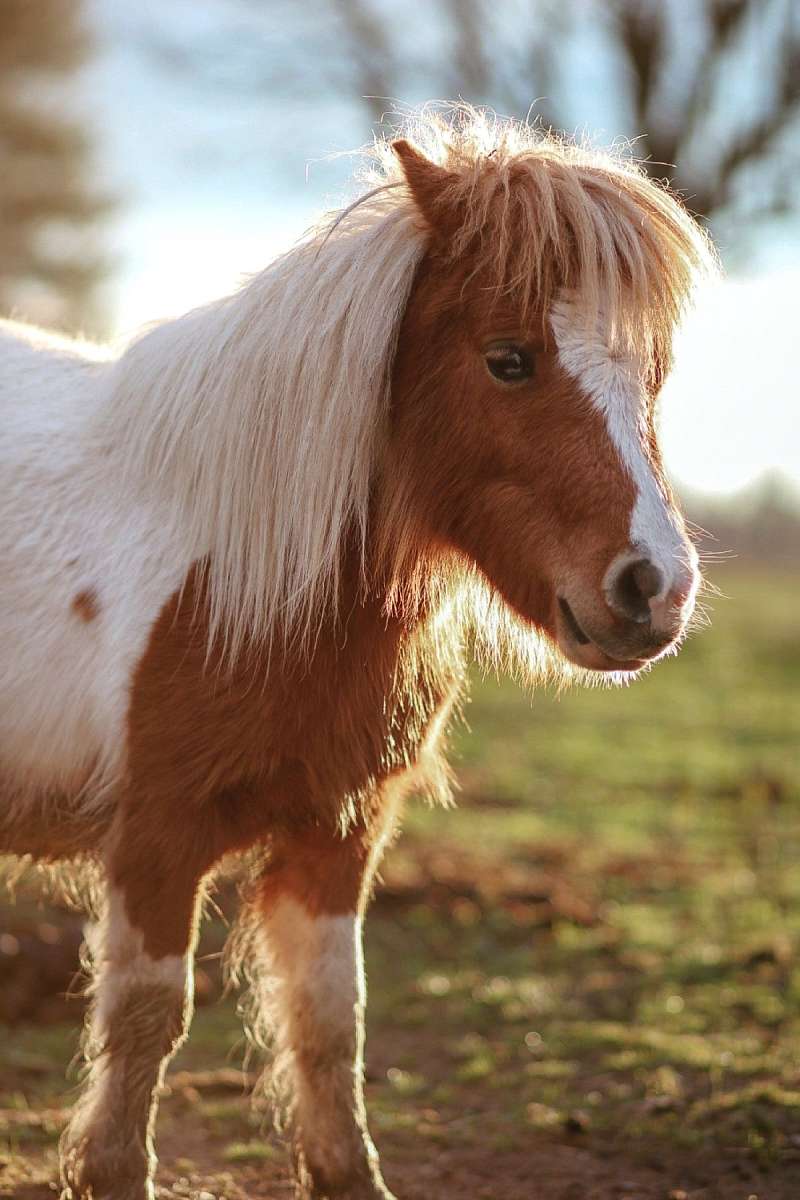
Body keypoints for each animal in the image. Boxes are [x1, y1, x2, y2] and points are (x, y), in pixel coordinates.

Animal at [0, 108, 715, 1200]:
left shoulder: (338, 833)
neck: (246, 568)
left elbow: (332, 1020)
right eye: (508, 359)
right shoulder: (156, 836)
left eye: (654, 373)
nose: (654, 589)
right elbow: (146, 1023)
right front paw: (110, 1170)